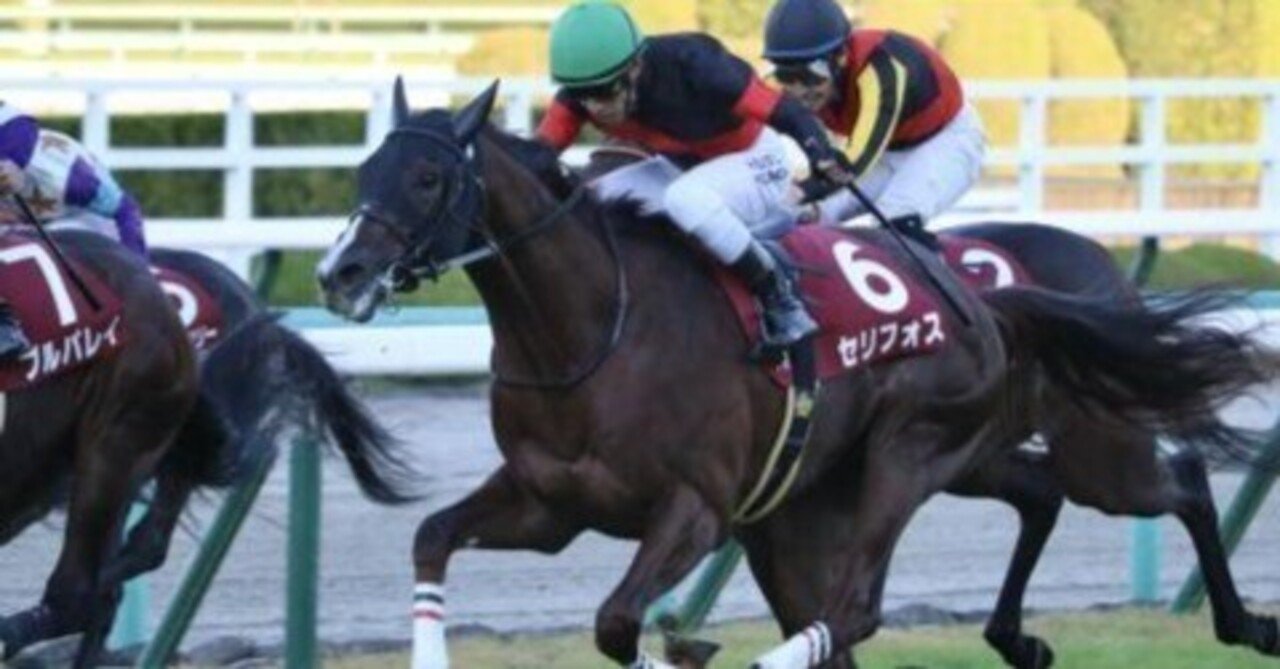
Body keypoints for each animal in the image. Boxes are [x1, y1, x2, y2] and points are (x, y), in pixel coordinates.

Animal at [316, 81, 1277, 668]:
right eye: (363, 168)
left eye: (429, 175)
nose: (340, 272)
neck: (593, 331)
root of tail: (991, 306)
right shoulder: (548, 503)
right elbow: (431, 536)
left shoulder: (696, 508)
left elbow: (618, 620)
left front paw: (684, 644)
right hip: (827, 503)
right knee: (1013, 512)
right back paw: (1026, 637)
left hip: (968, 449)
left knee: (1171, 486)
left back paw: (1243, 621)